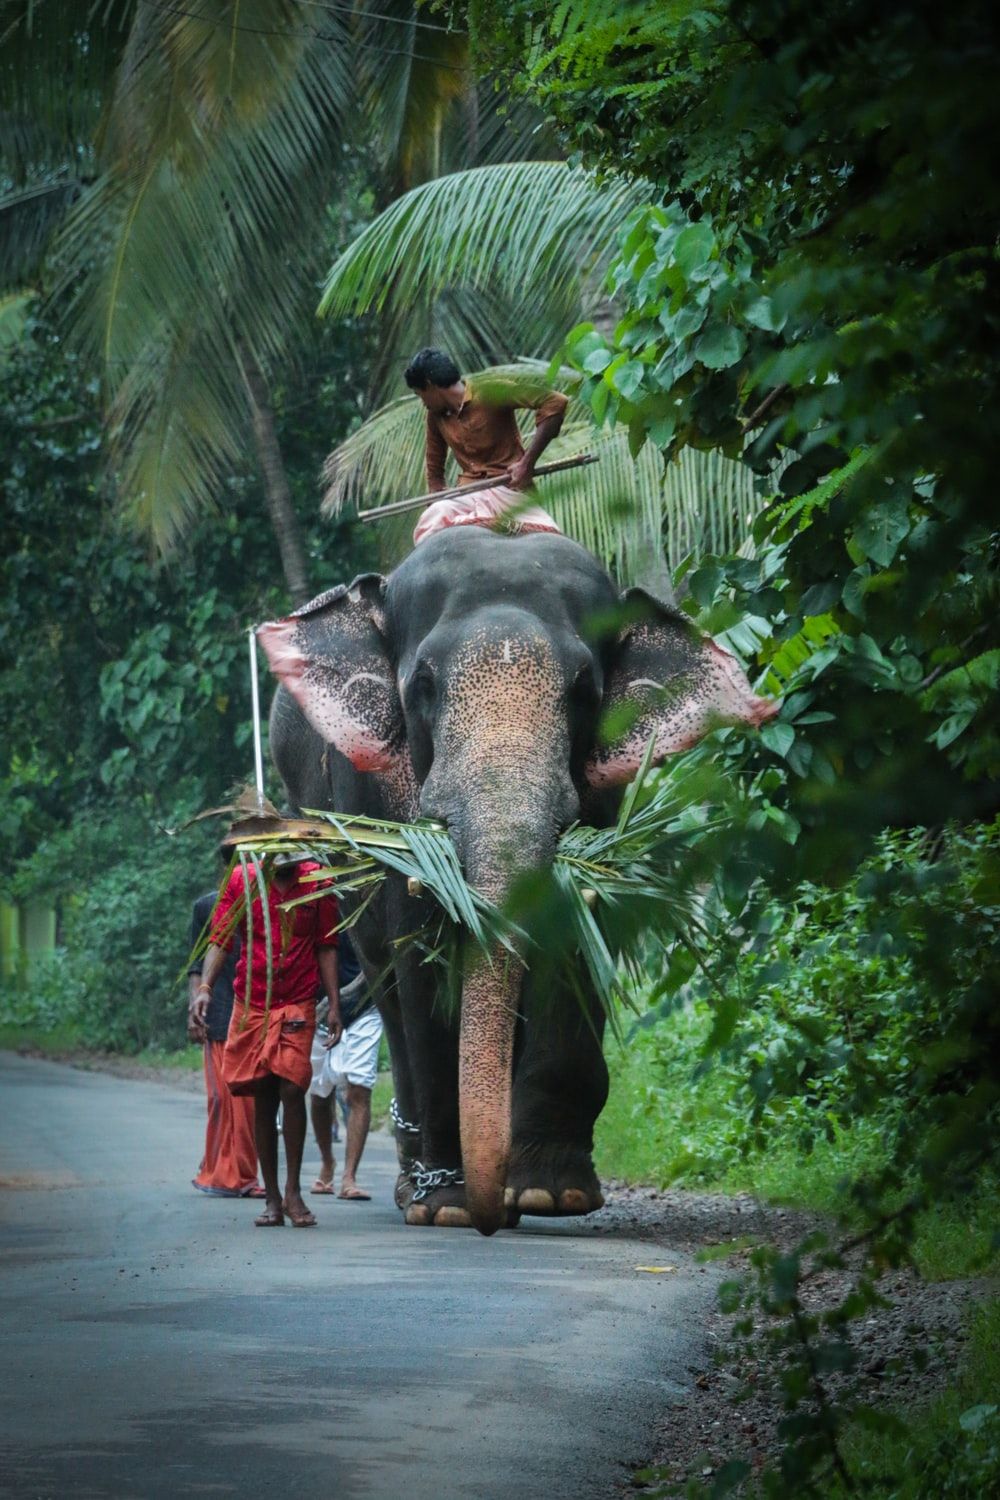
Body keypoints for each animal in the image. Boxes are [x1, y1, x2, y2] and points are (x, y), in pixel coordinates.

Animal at [259, 526, 774, 1237]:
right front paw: (449, 1205)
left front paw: (550, 1195)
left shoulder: (601, 795)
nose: (486, 1219)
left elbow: (570, 929)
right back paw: (416, 1185)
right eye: (424, 682)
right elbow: (423, 944)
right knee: (387, 984)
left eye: (584, 688)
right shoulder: (385, 794)